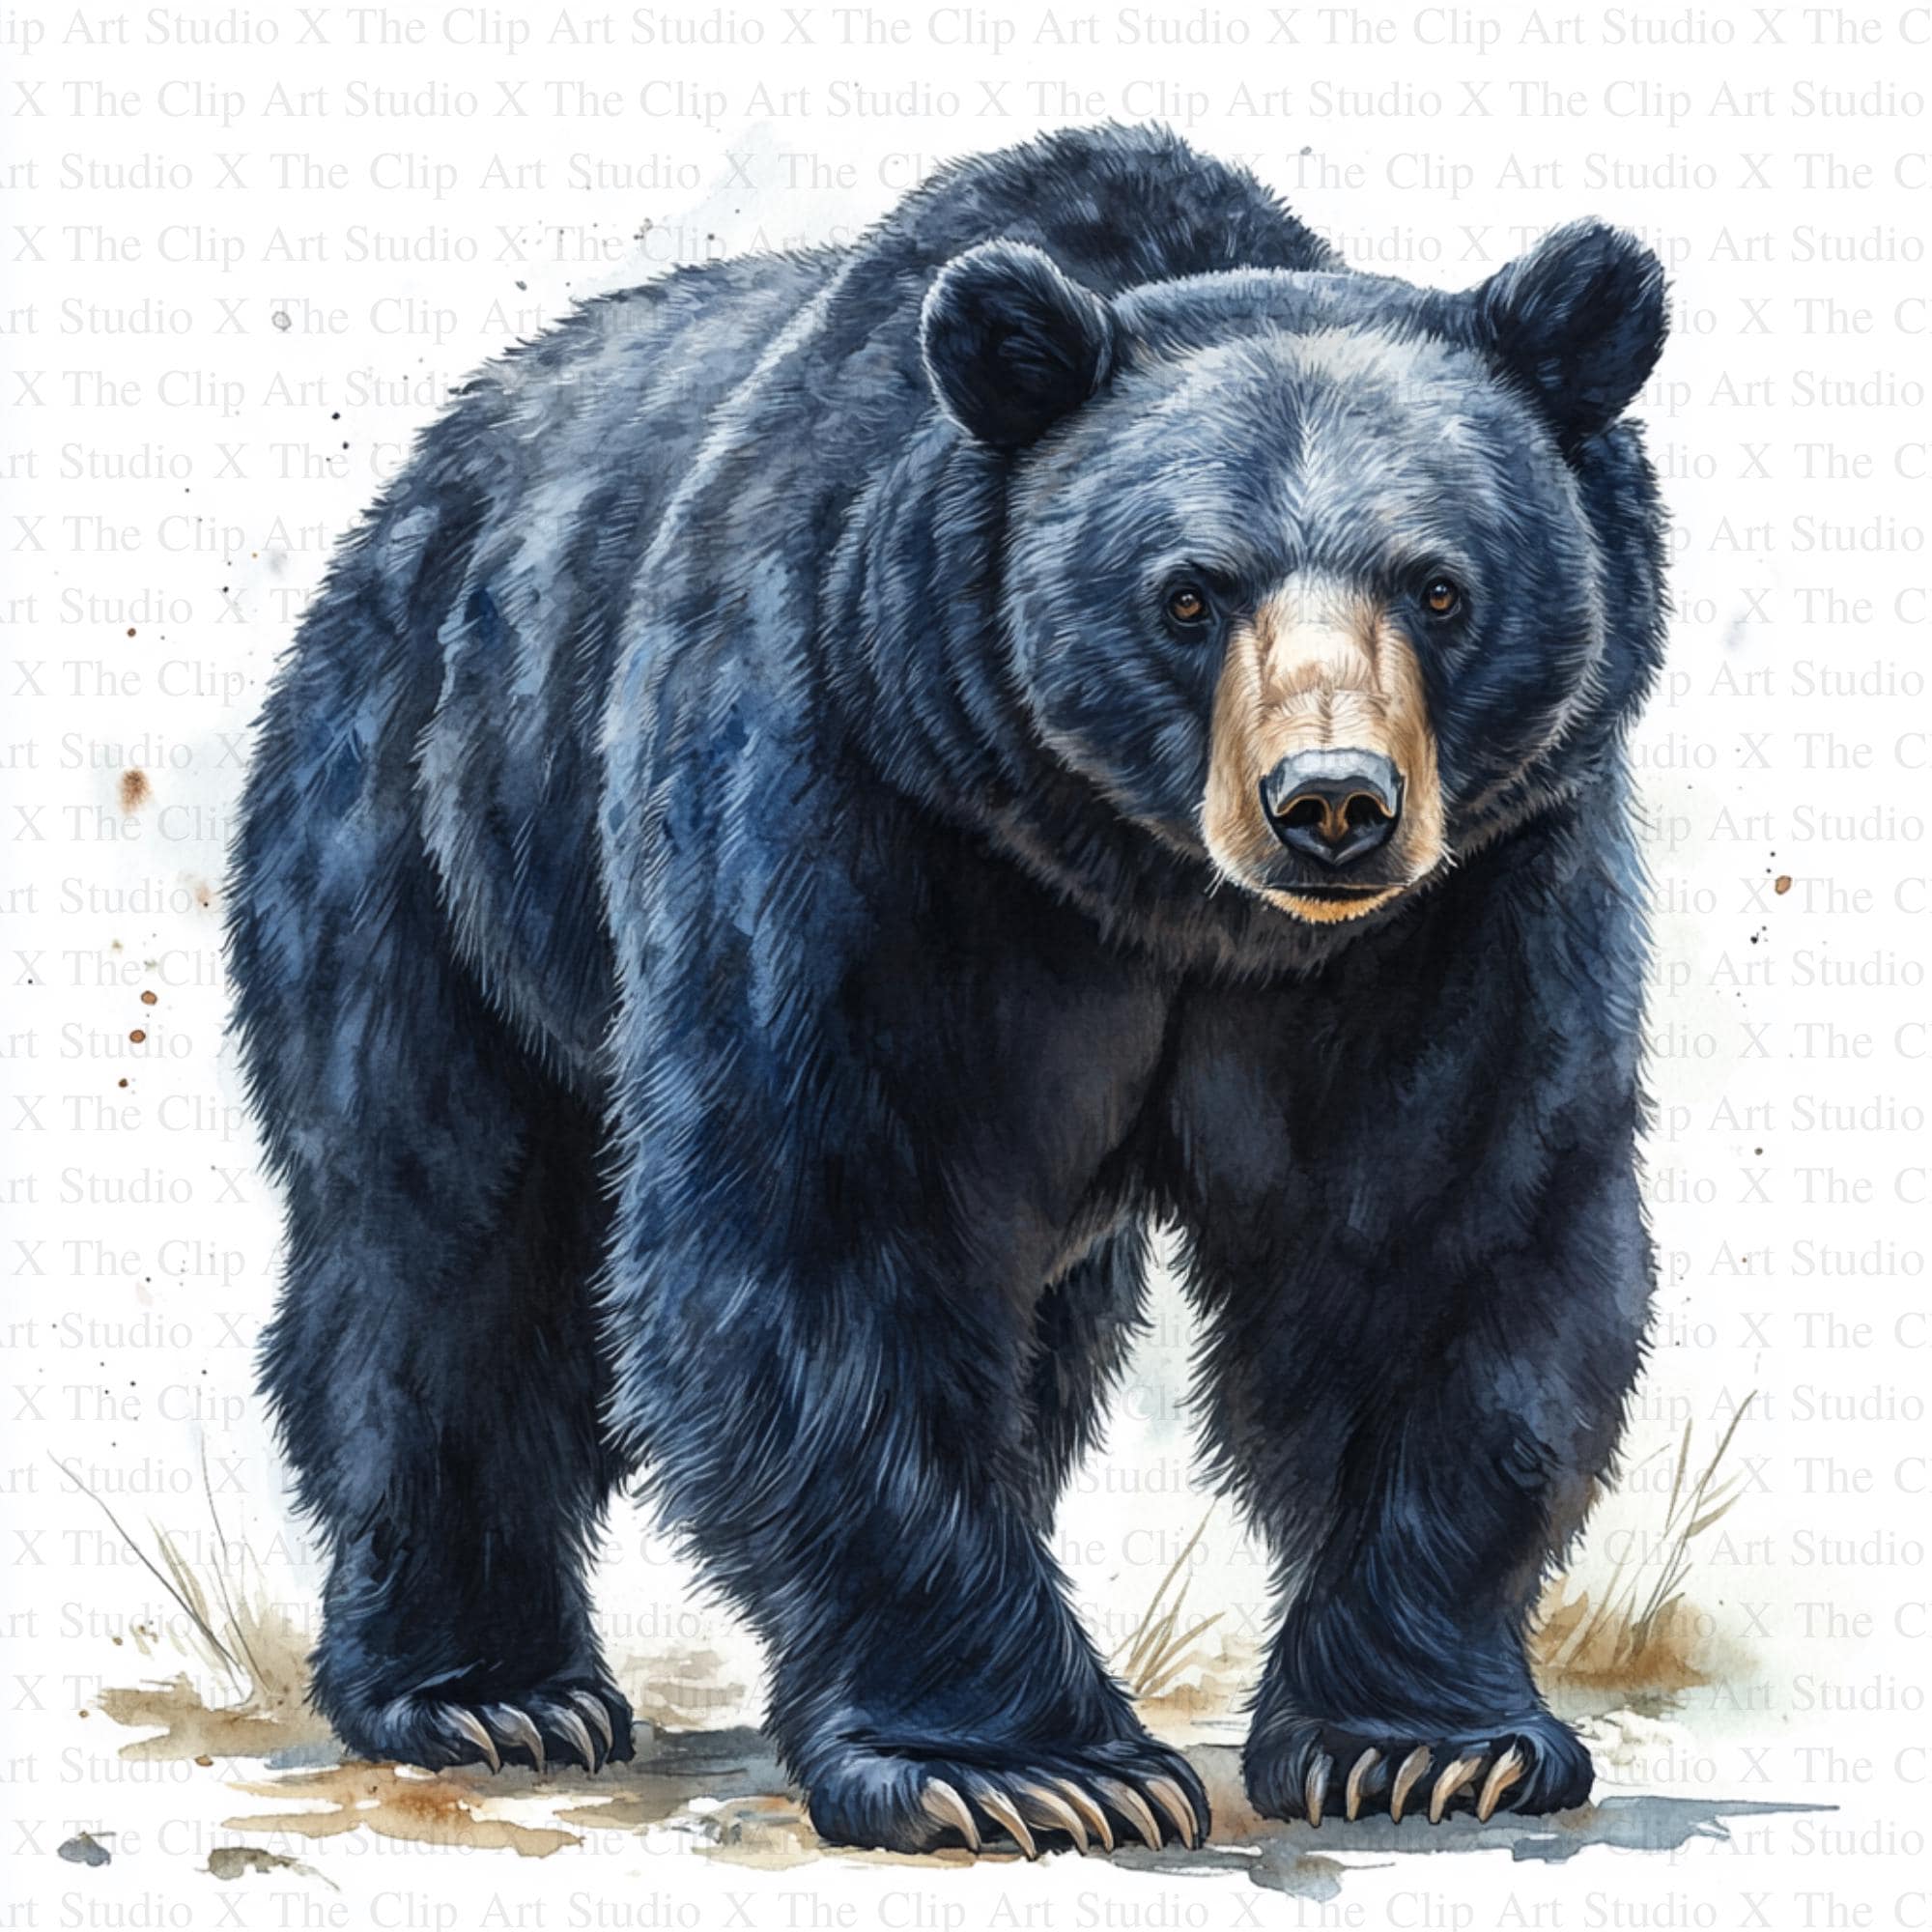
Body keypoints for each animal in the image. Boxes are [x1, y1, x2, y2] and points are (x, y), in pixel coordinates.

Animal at [229, 123, 1667, 1855]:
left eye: (1439, 588)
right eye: (1190, 593)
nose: (1333, 802)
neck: (1155, 888)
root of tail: (431, 473)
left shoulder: (1458, 909)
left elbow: (1440, 1230)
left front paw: (1430, 1745)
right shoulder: (856, 811)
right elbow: (826, 1225)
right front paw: (1025, 1768)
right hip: (432, 823)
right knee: (443, 1238)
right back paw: (482, 1690)